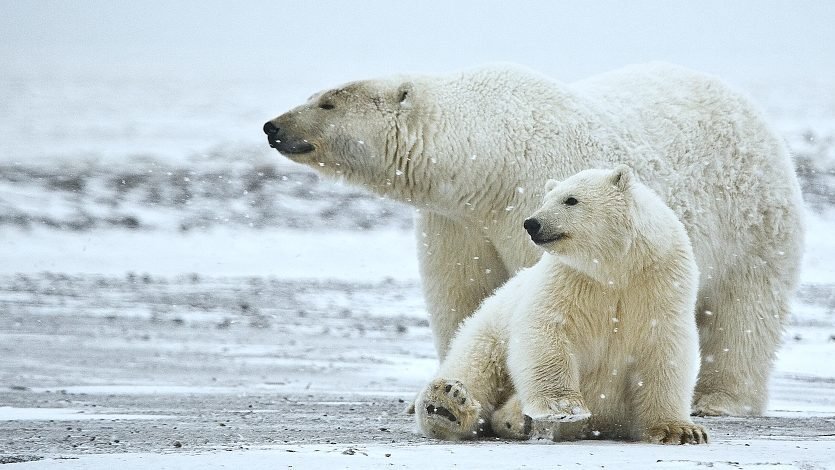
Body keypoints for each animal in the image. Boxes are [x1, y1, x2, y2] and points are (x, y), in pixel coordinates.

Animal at [415, 166, 708, 444]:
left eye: (571, 199)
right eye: (545, 199)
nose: (531, 223)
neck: (616, 268)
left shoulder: (660, 284)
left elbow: (664, 350)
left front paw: (680, 430)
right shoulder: (569, 279)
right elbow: (546, 329)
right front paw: (563, 407)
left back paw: (512, 417)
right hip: (489, 330)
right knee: (476, 365)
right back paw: (448, 405)